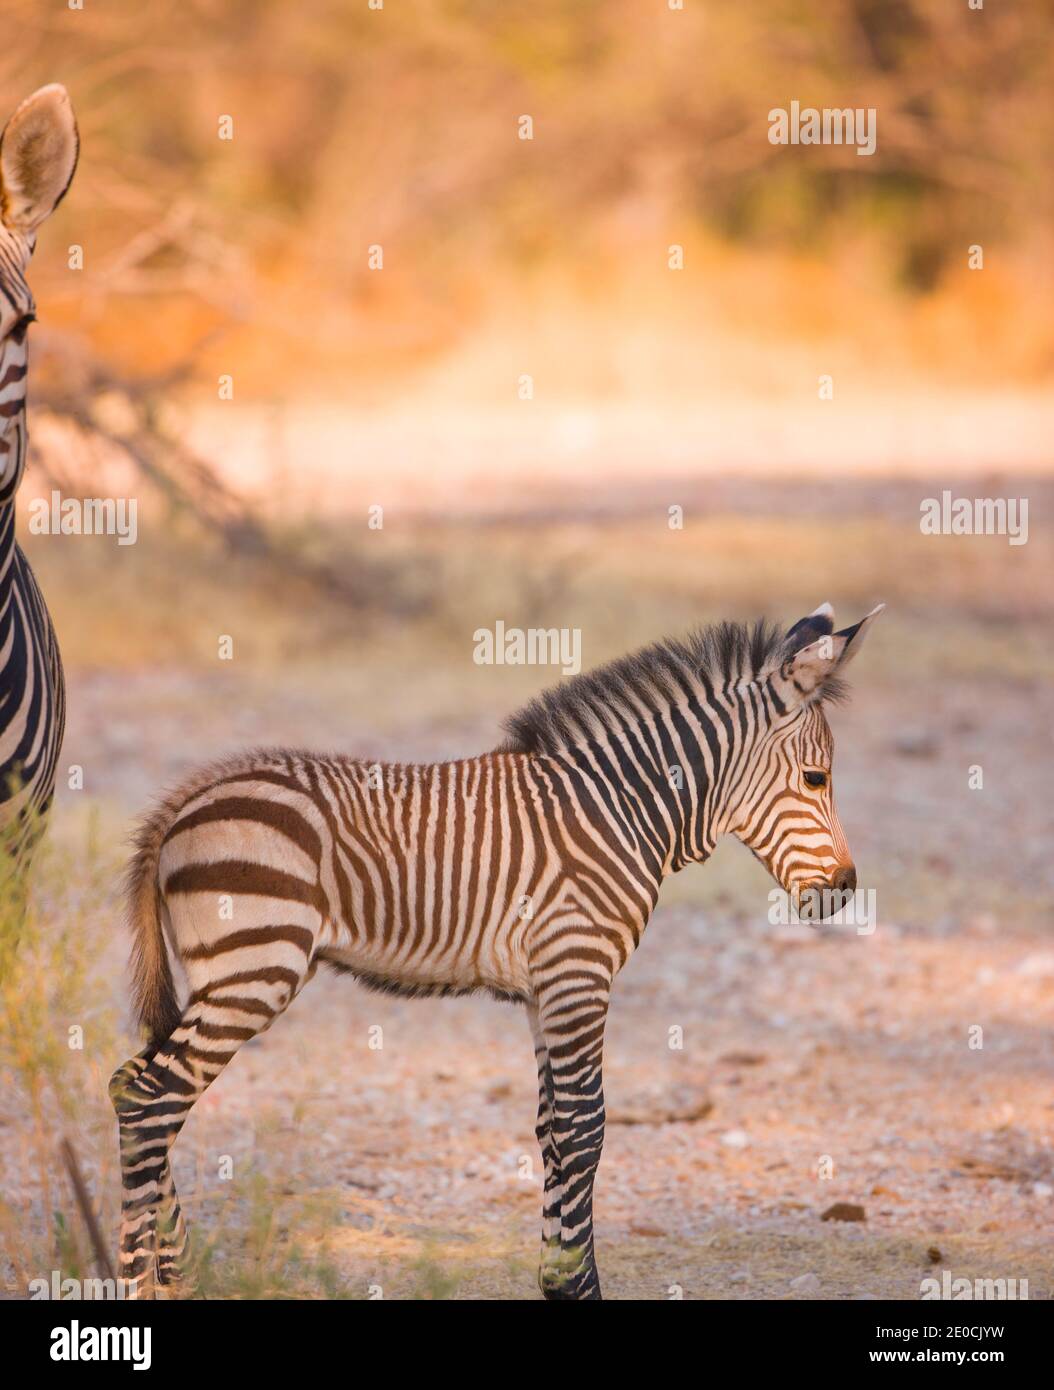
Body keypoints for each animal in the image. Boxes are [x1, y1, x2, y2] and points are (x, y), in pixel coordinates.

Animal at [110, 600, 883, 1299]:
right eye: (816, 779)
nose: (845, 890)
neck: (618, 808)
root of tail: (185, 801)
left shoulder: (547, 987)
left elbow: (552, 1130)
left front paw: (558, 1275)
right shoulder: (579, 971)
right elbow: (586, 1128)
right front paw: (577, 1287)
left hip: (220, 978)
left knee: (135, 1088)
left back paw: (177, 1273)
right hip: (255, 969)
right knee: (152, 1101)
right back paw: (137, 1281)